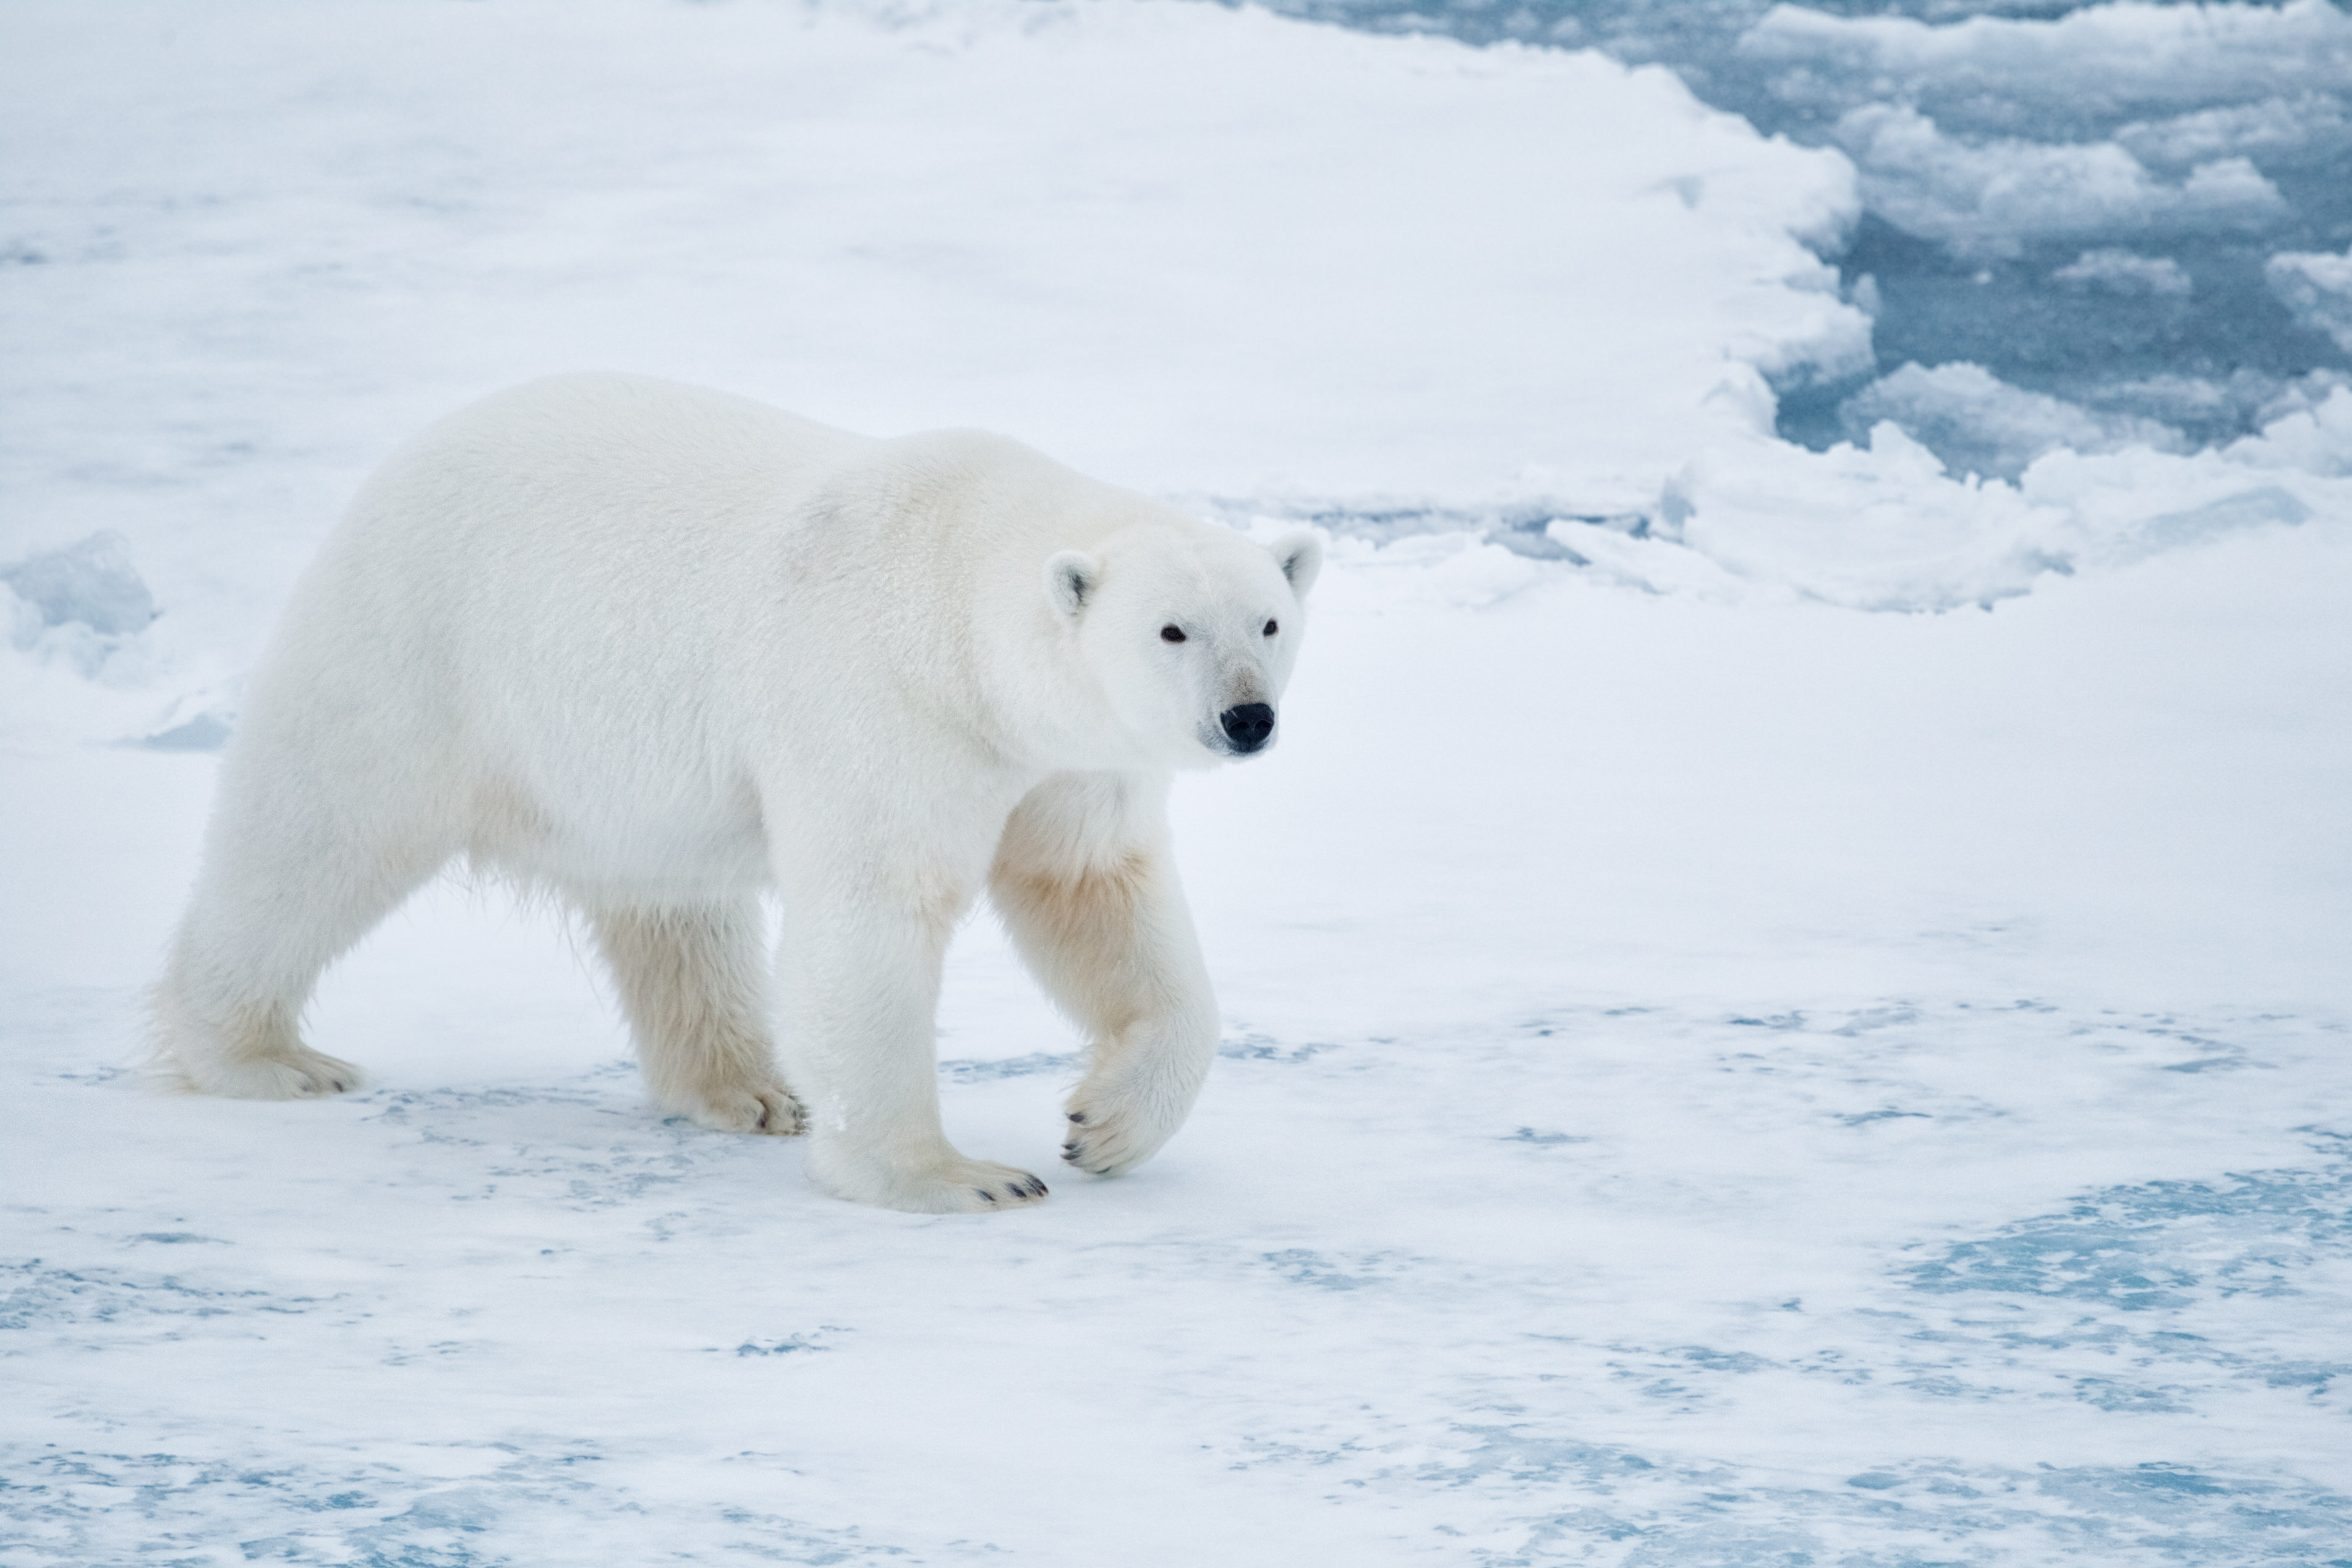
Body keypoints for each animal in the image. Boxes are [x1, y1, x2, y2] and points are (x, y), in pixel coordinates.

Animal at [150, 373, 1320, 1214]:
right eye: (1170, 630)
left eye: (1268, 619)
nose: (1247, 719)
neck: (961, 607)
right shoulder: (887, 702)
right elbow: (874, 918)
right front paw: (958, 1177)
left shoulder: (1066, 760)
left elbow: (1094, 894)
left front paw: (1107, 1125)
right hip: (418, 652)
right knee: (315, 840)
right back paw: (265, 1057)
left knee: (674, 911)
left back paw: (750, 1090)